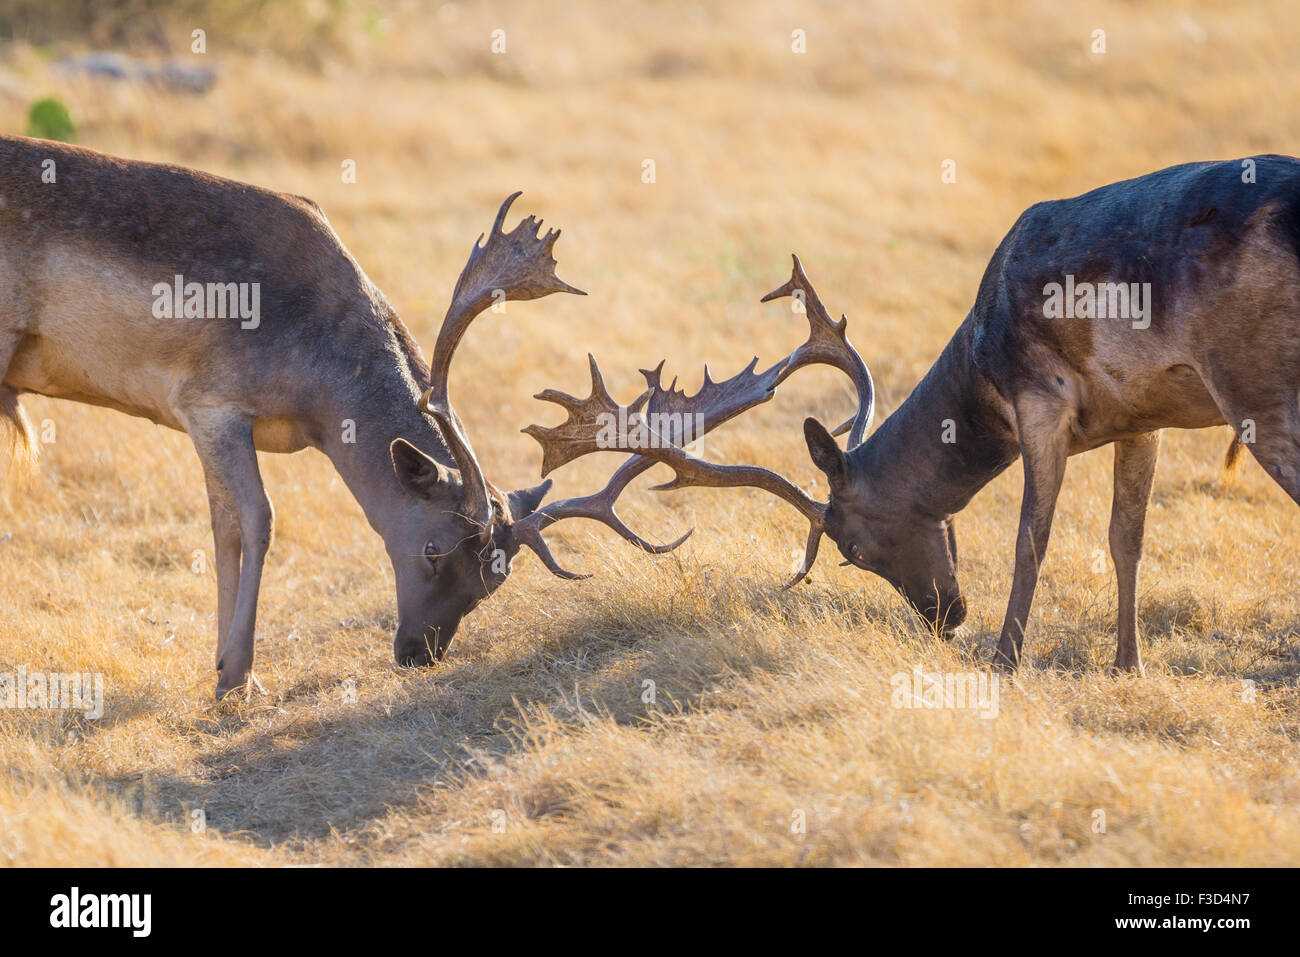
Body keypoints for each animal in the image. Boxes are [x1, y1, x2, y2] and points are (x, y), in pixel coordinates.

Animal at [0, 134, 701, 698]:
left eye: (492, 583)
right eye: (432, 547)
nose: (418, 652)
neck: (317, 371)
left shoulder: (208, 422)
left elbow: (221, 526)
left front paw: (224, 666)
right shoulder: (212, 402)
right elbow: (255, 521)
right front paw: (237, 677)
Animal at [526, 156, 1300, 675]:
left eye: (853, 548)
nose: (946, 619)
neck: (980, 369)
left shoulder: (1041, 398)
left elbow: (1031, 538)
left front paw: (1005, 659)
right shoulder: (1140, 417)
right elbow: (1126, 538)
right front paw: (1126, 664)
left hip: (1258, 390)